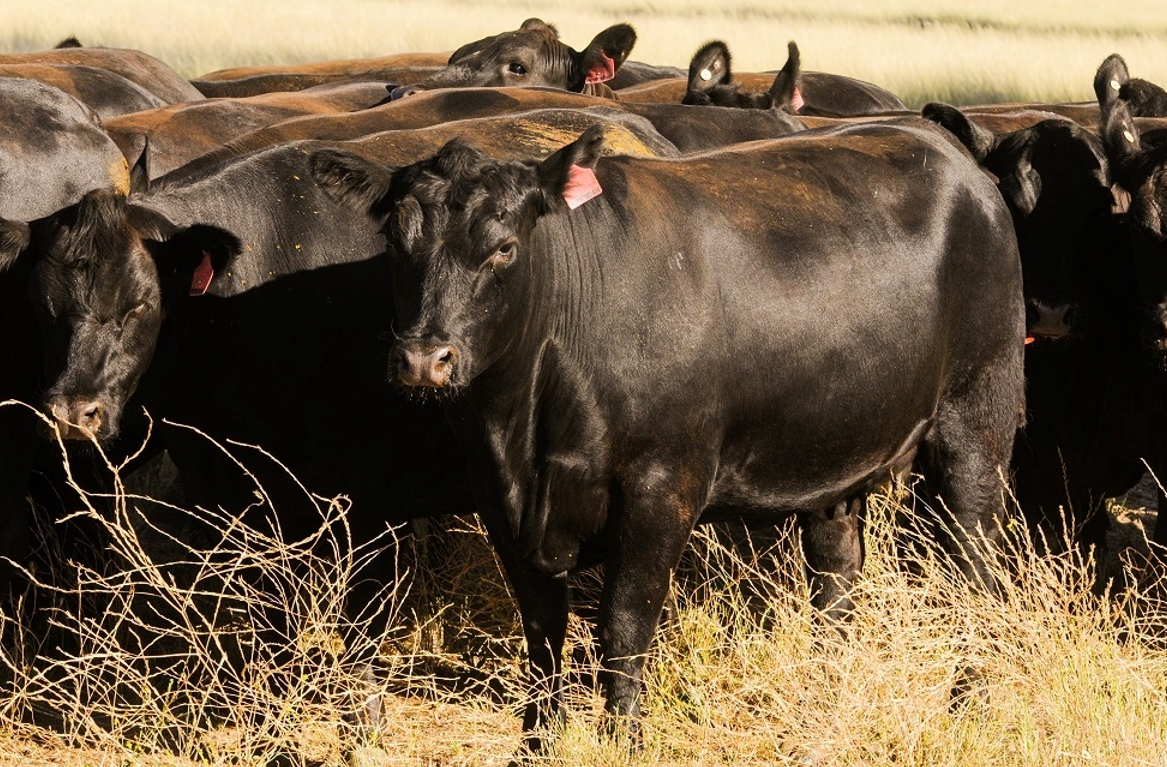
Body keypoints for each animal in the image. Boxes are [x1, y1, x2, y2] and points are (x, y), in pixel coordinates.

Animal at [308, 118, 1026, 751]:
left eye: (504, 247)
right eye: (395, 244)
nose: (423, 360)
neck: (526, 430)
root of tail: (943, 146)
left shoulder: (662, 488)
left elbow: (622, 630)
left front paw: (623, 740)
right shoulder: (499, 499)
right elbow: (542, 635)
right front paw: (537, 744)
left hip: (976, 417)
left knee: (973, 568)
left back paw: (971, 704)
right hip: (837, 442)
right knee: (837, 572)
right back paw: (828, 693)